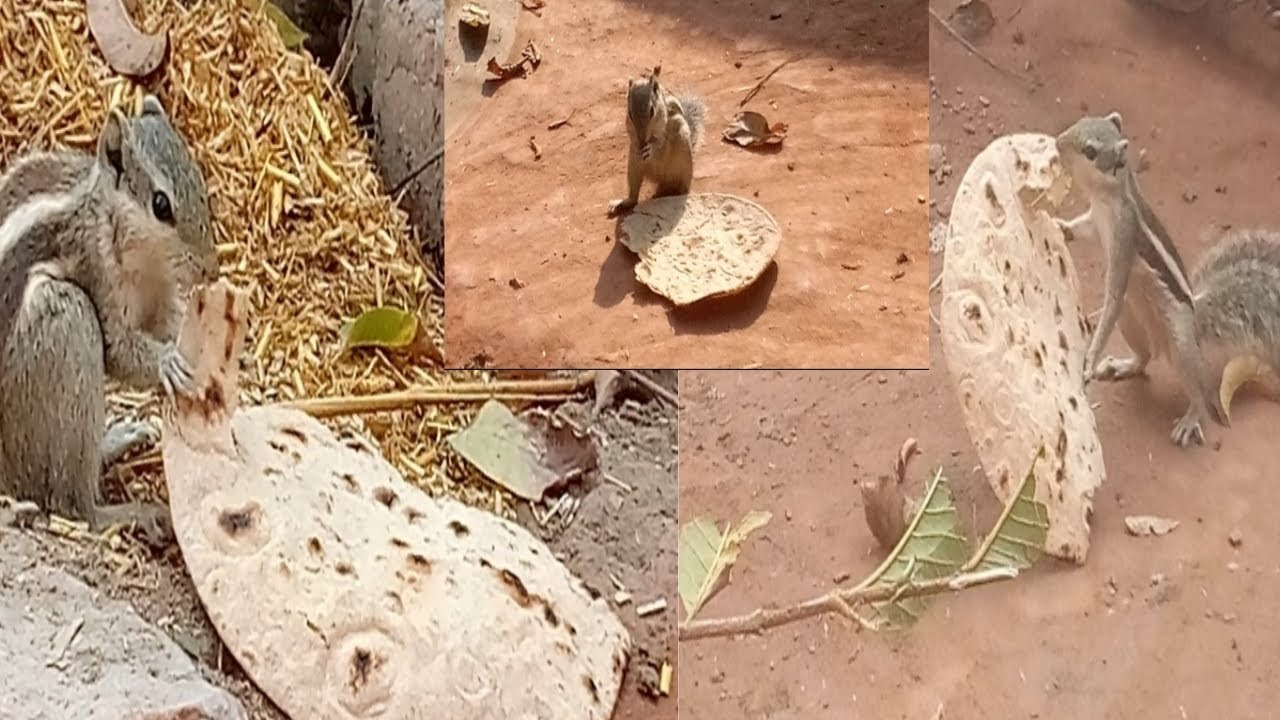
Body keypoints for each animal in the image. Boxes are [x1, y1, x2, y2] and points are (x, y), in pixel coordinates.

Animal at [0, 95, 218, 541]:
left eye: (201, 185)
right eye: (161, 205)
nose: (210, 270)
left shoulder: (160, 298)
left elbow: (167, 326)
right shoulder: (96, 267)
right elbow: (119, 349)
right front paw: (170, 362)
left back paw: (118, 438)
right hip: (69, 325)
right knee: (70, 504)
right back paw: (131, 512)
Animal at [607, 65, 706, 218]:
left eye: (652, 110)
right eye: (630, 113)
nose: (642, 141)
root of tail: (662, 180)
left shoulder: (666, 130)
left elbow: (660, 145)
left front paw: (650, 149)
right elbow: (632, 138)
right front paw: (638, 145)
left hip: (683, 161)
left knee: (684, 188)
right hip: (633, 167)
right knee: (633, 197)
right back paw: (621, 203)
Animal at [1054, 112, 1226, 447]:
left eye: (1090, 151)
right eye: (1082, 120)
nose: (1056, 143)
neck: (1107, 196)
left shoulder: (1124, 236)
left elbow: (1114, 291)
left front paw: (1089, 359)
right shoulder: (1094, 222)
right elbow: (1081, 228)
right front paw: (1061, 226)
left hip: (1180, 341)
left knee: (1199, 390)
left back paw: (1191, 417)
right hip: (1131, 322)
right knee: (1145, 358)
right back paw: (1122, 366)